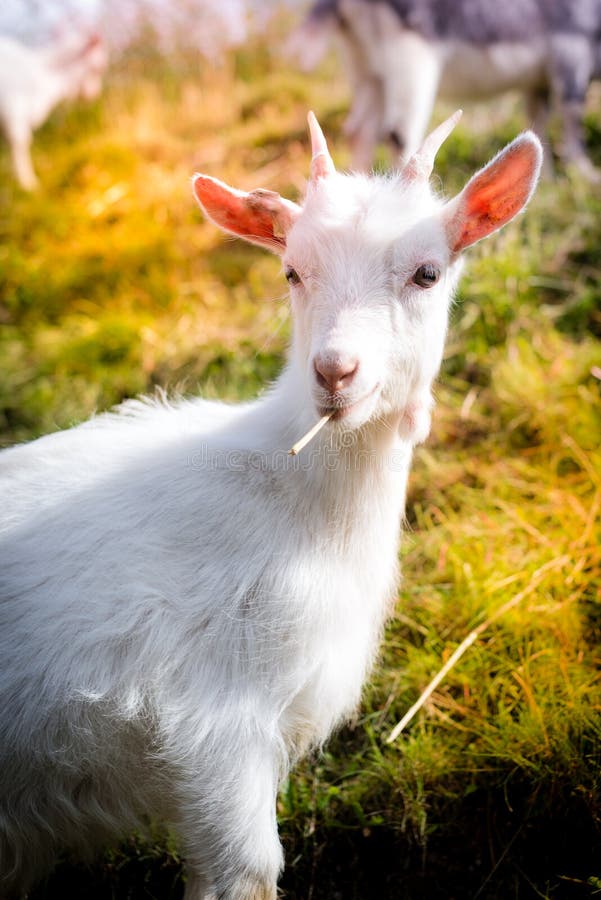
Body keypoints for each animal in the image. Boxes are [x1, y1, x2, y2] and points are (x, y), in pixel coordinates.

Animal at [0, 112, 542, 898]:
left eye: (427, 272)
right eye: (292, 270)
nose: (334, 372)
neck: (295, 498)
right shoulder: (216, 732)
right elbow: (248, 872)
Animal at [296, 0, 600, 178]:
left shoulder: (537, 81)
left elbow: (538, 120)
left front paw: (548, 181)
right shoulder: (571, 51)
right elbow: (572, 117)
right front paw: (589, 178)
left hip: (363, 65)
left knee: (359, 130)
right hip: (411, 59)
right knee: (398, 135)